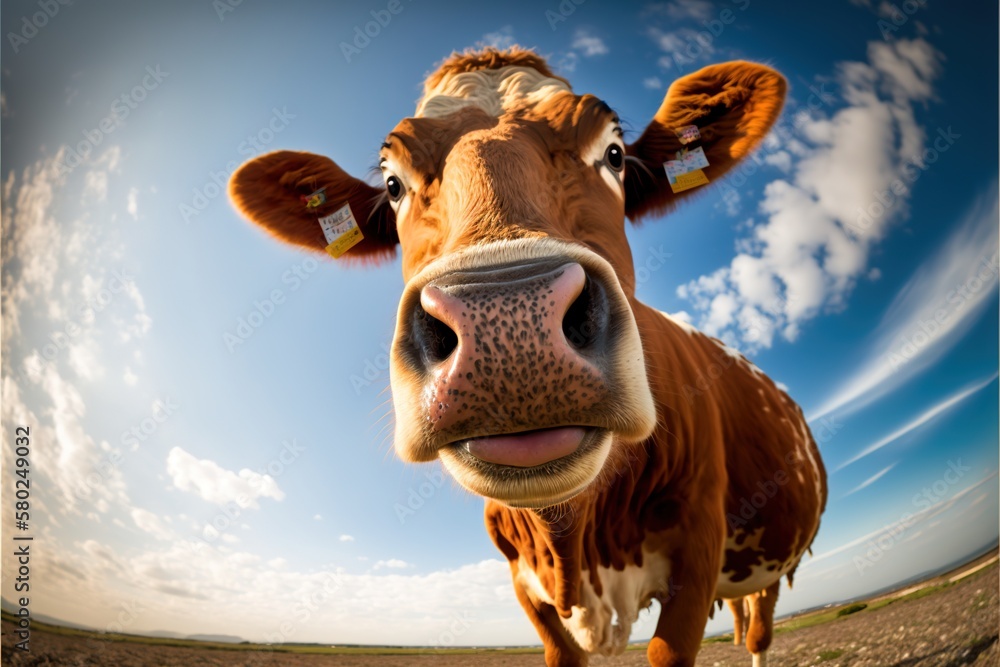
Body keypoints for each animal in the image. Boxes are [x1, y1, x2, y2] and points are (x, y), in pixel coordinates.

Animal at [229, 47, 827, 667]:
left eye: (614, 154)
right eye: (393, 184)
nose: (509, 322)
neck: (573, 540)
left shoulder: (699, 541)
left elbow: (669, 649)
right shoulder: (523, 583)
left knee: (758, 631)